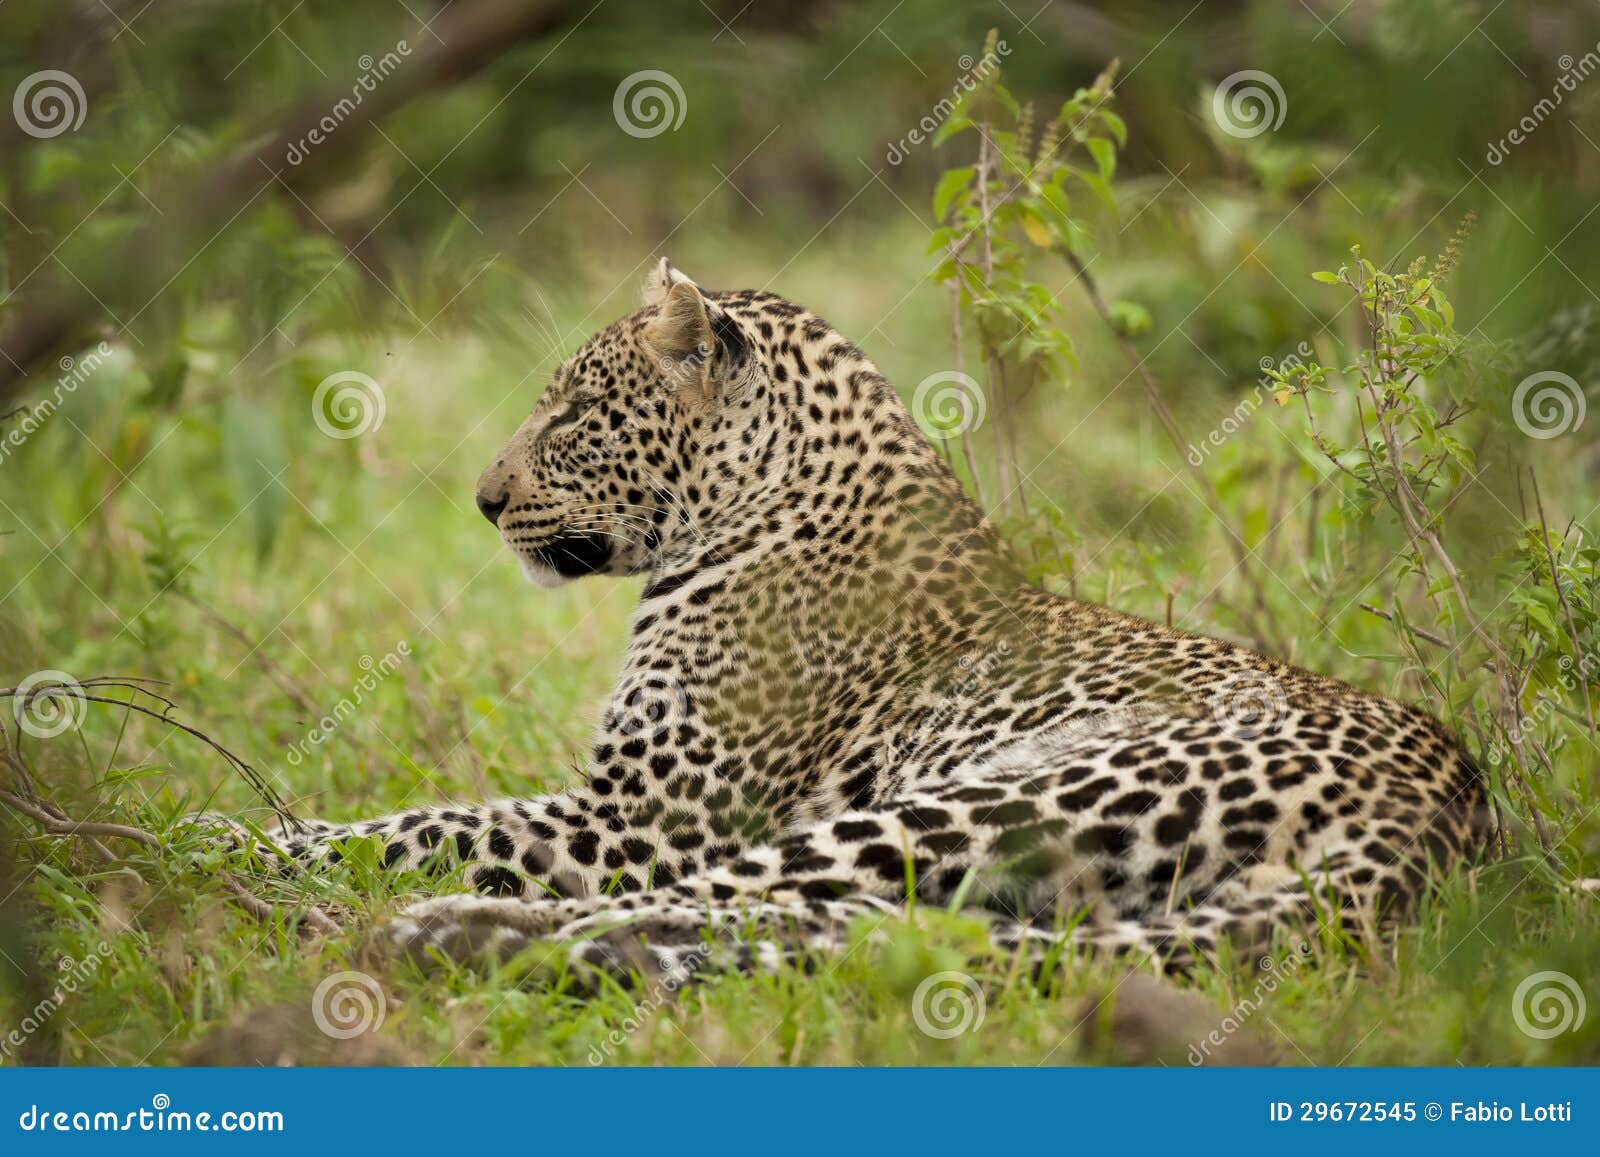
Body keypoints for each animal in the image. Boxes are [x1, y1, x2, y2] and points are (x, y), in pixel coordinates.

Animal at [250, 258, 1486, 977]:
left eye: (576, 413)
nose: (483, 499)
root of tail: (1450, 814)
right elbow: (425, 813)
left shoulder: (643, 821)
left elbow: (423, 821)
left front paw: (249, 839)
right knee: (857, 928)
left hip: (996, 795)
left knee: (721, 907)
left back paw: (421, 930)